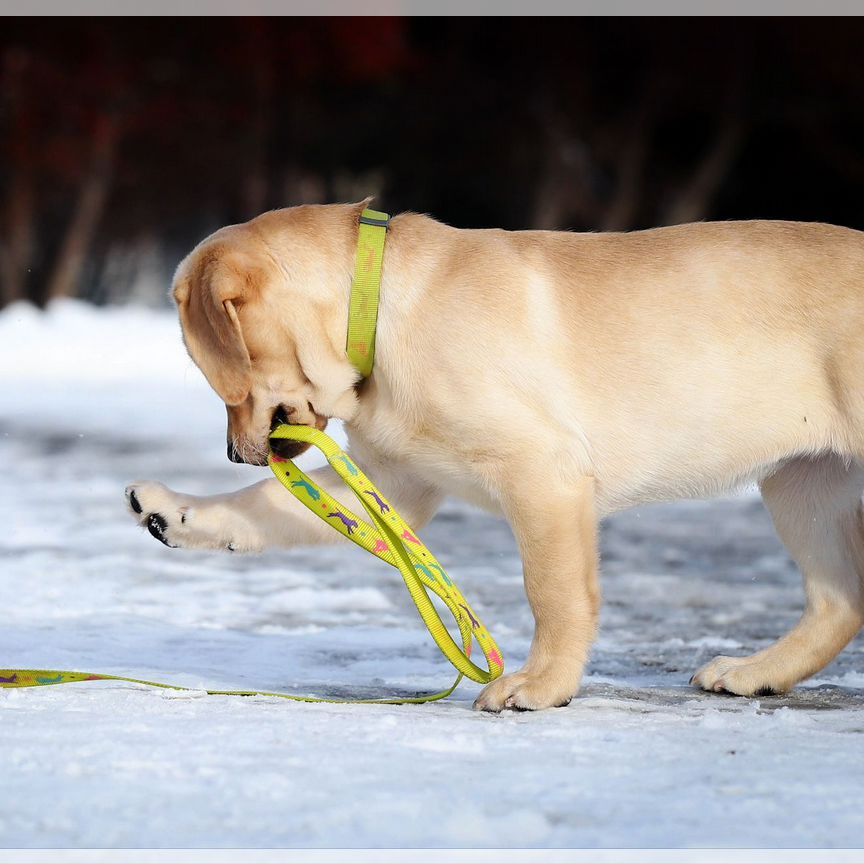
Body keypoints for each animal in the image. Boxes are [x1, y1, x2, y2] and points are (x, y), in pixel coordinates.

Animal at [126, 201, 864, 708]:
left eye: (219, 374)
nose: (233, 453)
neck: (379, 314)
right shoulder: (396, 484)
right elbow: (263, 507)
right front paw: (175, 512)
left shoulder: (542, 472)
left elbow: (554, 592)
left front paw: (542, 685)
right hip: (804, 485)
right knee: (839, 602)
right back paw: (754, 673)